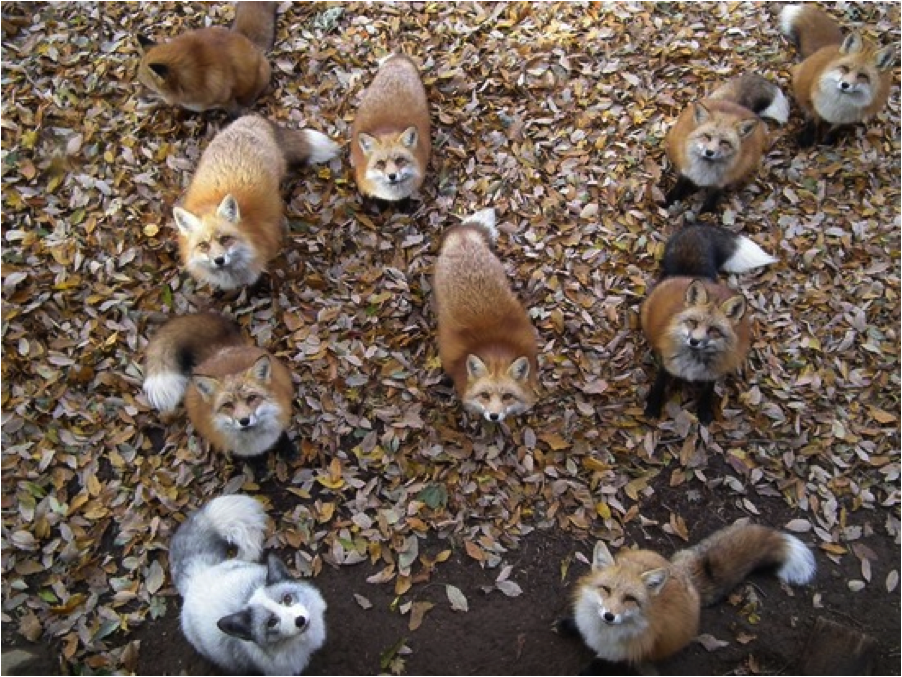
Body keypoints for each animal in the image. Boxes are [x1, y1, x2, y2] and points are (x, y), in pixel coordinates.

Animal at [142, 312, 295, 459]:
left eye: (251, 398)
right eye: (227, 405)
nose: (244, 421)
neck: (255, 441)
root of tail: (218, 351)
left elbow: (282, 435)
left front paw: (288, 449)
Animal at [556, 520, 817, 673]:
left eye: (630, 599)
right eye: (606, 590)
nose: (609, 616)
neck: (603, 633)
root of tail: (684, 575)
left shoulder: (619, 656)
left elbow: (595, 666)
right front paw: (569, 625)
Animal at [641, 225, 776, 424]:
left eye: (714, 330)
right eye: (692, 322)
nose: (694, 341)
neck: (694, 362)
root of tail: (691, 274)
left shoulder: (714, 373)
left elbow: (707, 393)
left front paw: (704, 413)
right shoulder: (667, 365)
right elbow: (659, 386)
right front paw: (652, 407)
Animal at [664, 74, 788, 214]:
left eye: (724, 142)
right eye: (707, 136)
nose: (709, 152)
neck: (704, 172)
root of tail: (733, 104)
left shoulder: (719, 184)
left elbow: (711, 200)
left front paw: (706, 213)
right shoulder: (685, 172)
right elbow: (678, 189)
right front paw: (668, 202)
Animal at [779, 4, 897, 147]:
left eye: (862, 76)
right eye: (845, 68)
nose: (845, 85)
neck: (837, 104)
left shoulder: (846, 118)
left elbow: (836, 127)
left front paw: (829, 140)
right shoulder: (813, 103)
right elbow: (812, 119)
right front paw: (807, 137)